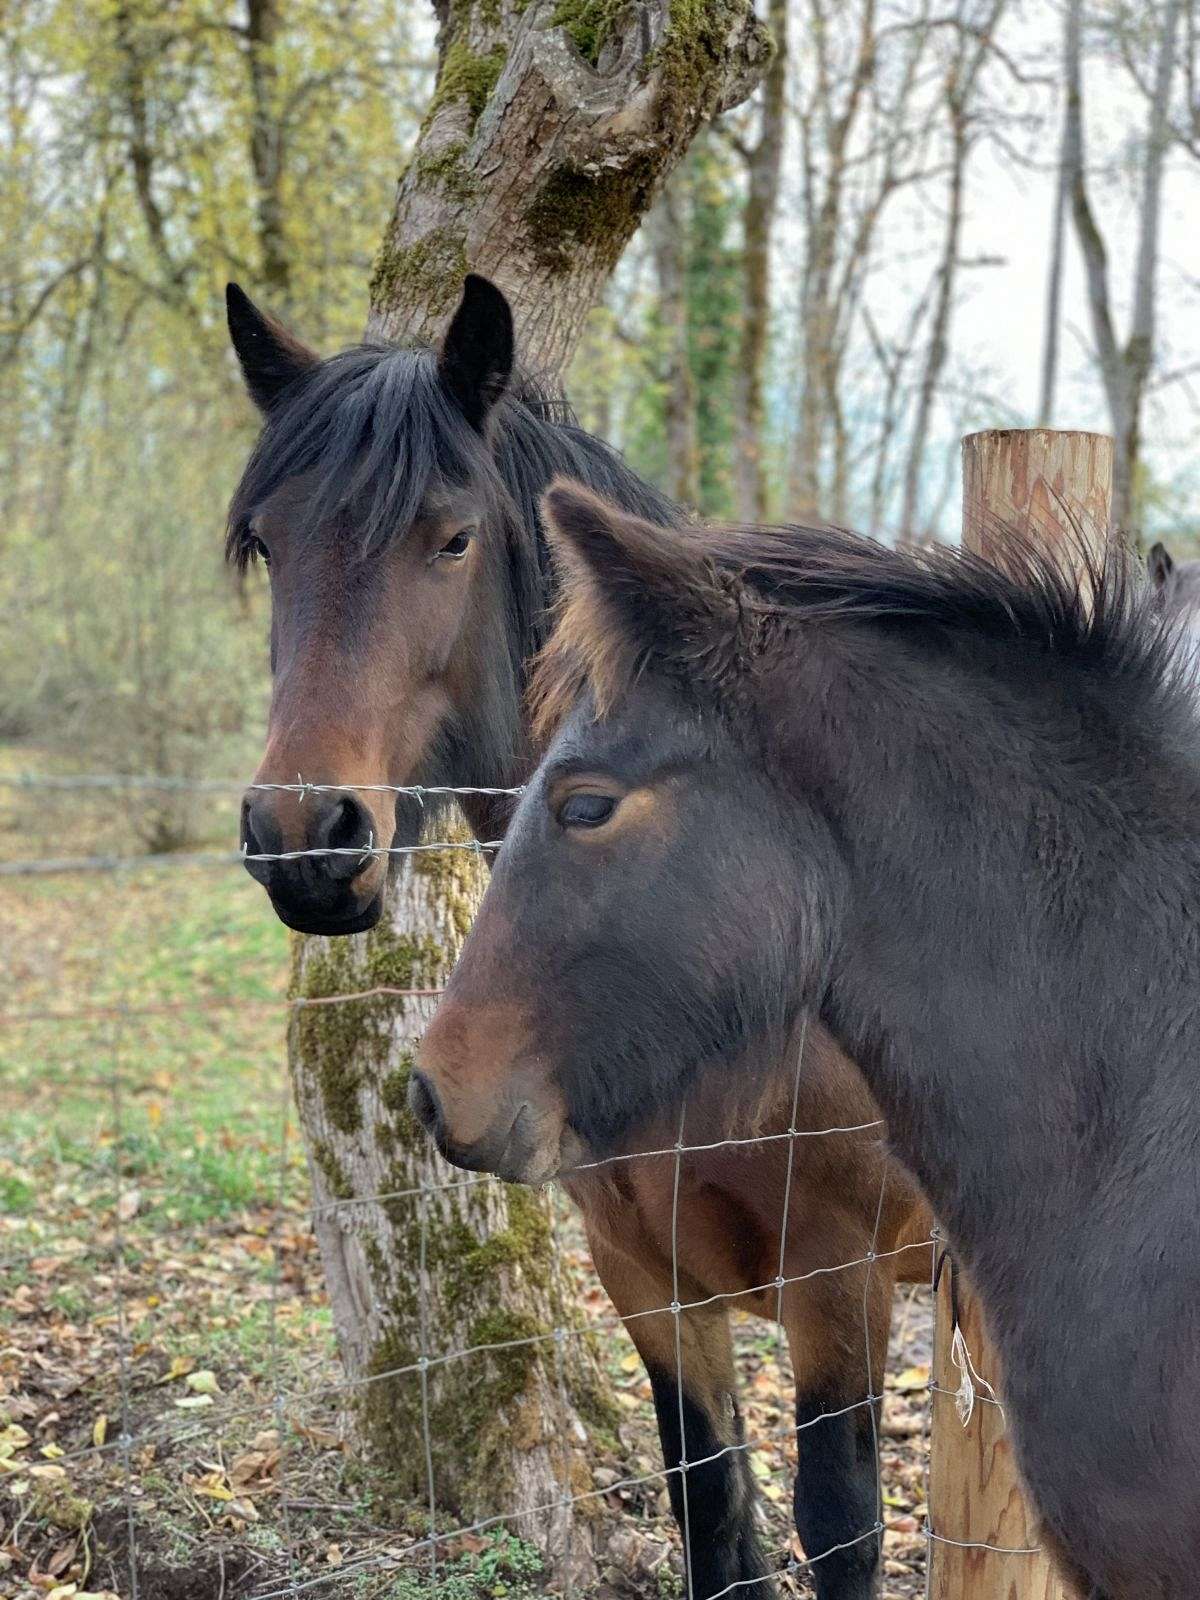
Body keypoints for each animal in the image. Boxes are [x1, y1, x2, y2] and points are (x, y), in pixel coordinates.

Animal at [225, 276, 931, 1599]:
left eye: (451, 538)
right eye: (268, 545)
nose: (304, 836)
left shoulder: (842, 1290)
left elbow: (842, 1527)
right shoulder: (645, 1277)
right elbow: (713, 1513)